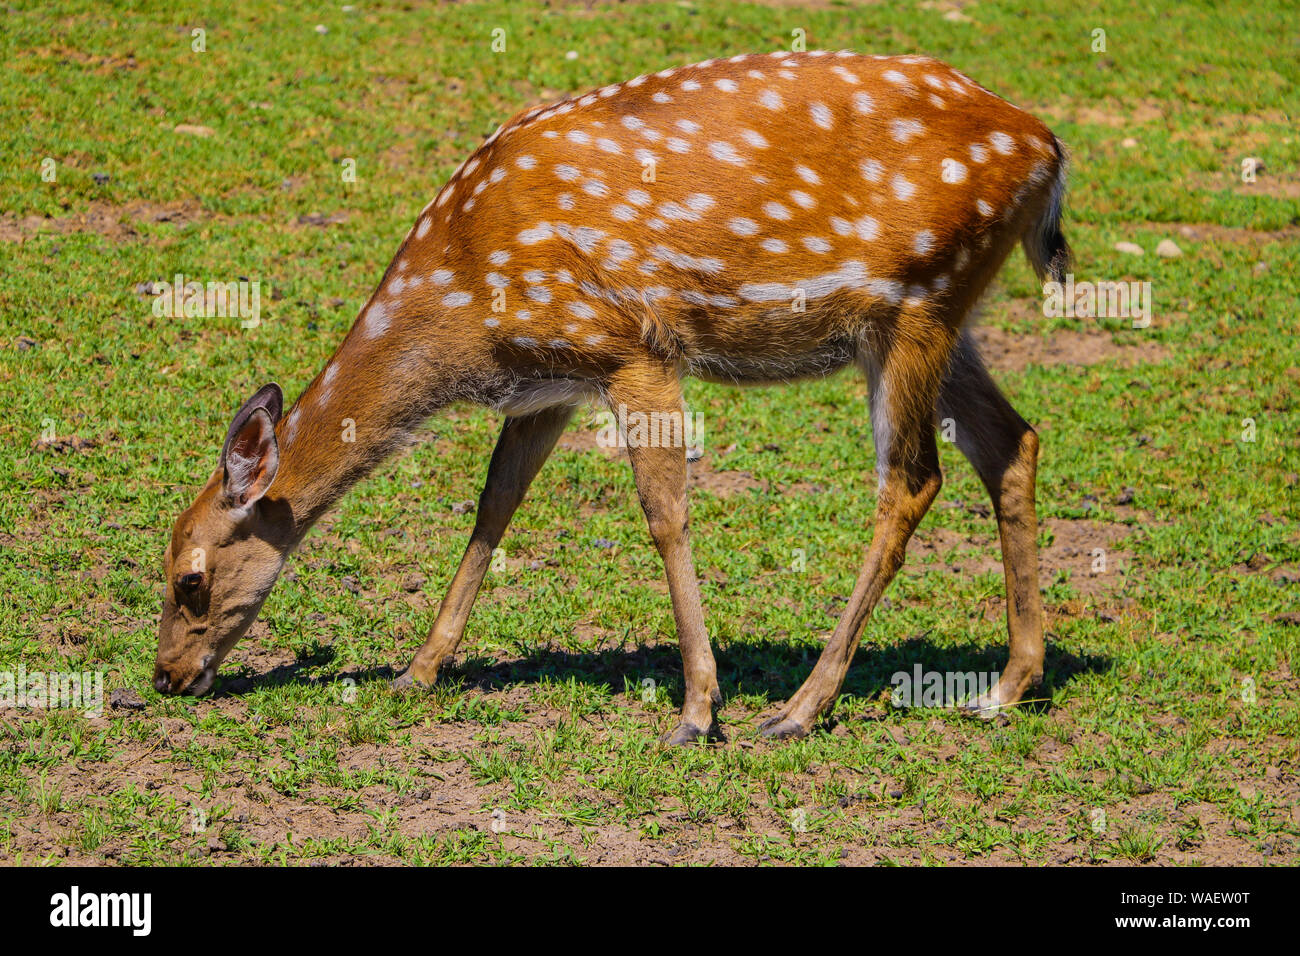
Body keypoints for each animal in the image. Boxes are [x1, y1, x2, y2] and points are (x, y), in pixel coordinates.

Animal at [154, 50, 1070, 744]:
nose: (166, 675)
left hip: (915, 305)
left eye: (189, 579)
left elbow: (665, 515)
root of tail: (1049, 150)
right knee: (1013, 441)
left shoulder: (633, 346)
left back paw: (800, 709)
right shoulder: (547, 382)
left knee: (912, 482)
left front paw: (698, 711)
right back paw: (1006, 686)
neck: (463, 298)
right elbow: (494, 506)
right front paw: (418, 671)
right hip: (949, 313)